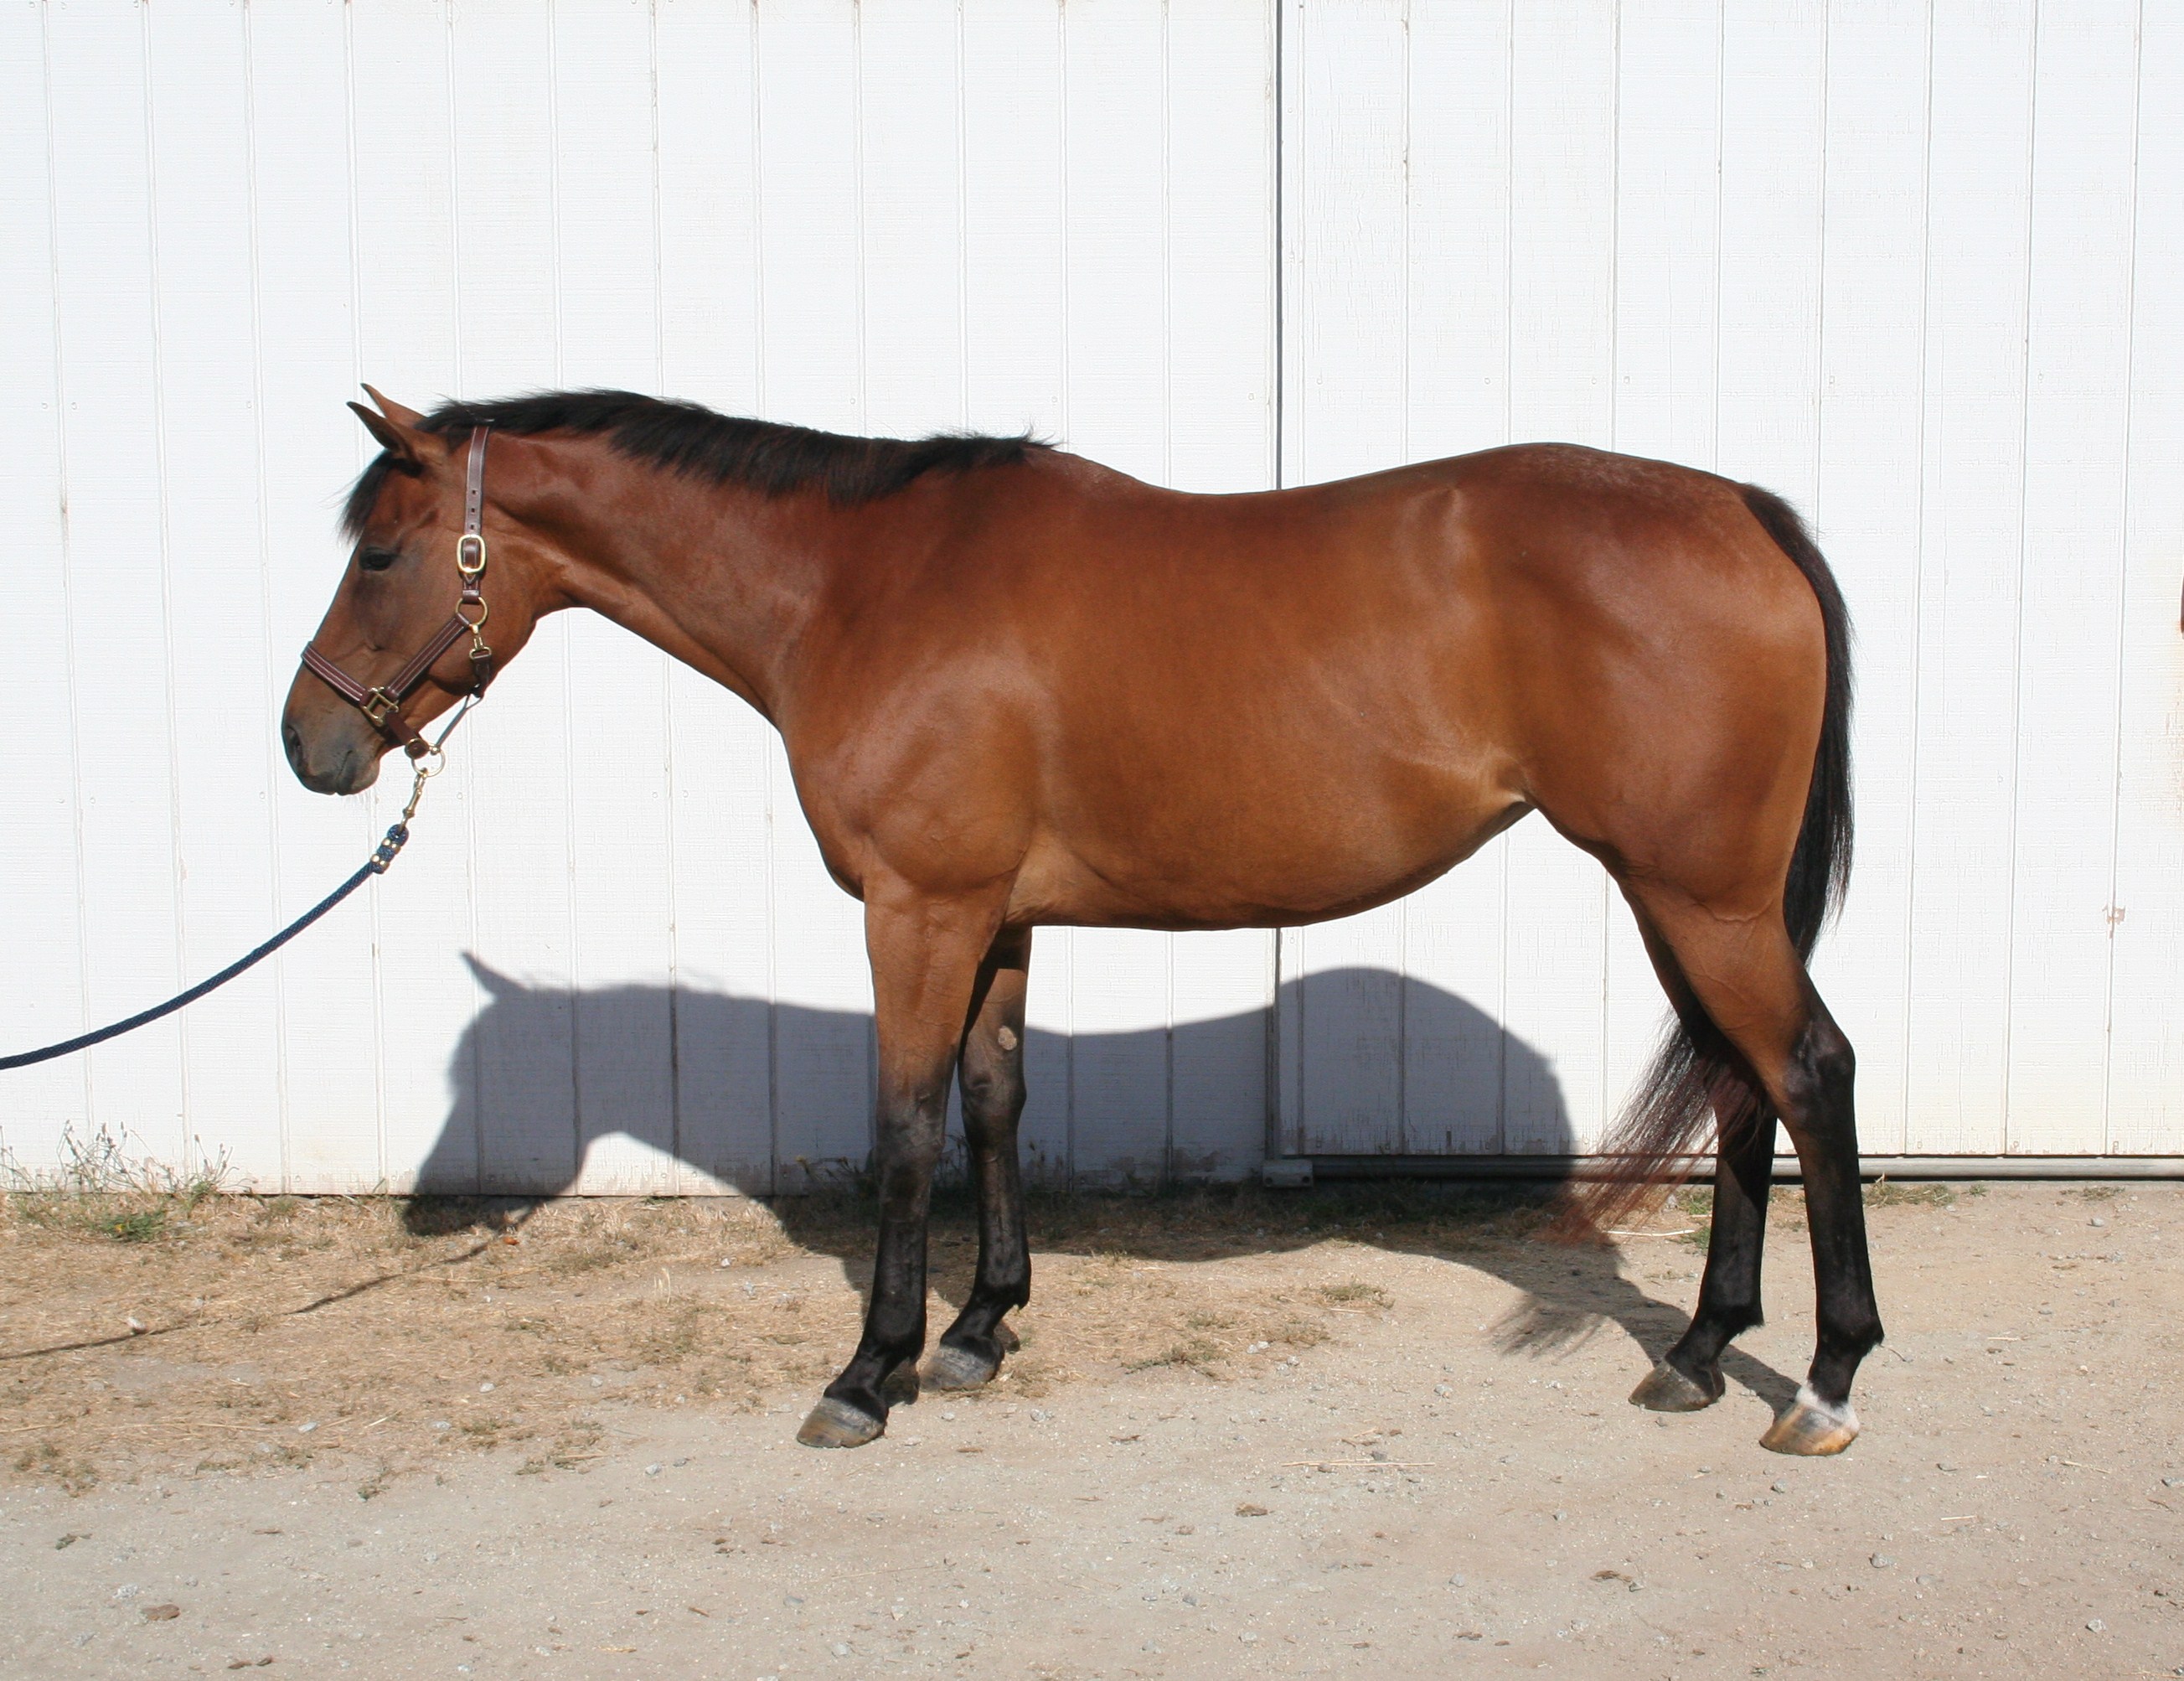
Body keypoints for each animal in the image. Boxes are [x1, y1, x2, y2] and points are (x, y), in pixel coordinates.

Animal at [284, 386, 1875, 1457]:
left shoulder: (917, 911)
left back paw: (1826, 1381)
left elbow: (905, 1123)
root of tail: (1740, 510)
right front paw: (981, 1327)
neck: (856, 589)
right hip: (1675, 895)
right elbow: (994, 1099)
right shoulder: (991, 917)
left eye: (380, 554)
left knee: (1807, 1074)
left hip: (1701, 895)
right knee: (1739, 1089)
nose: (311, 745)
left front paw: (868, 1373)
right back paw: (1696, 1351)